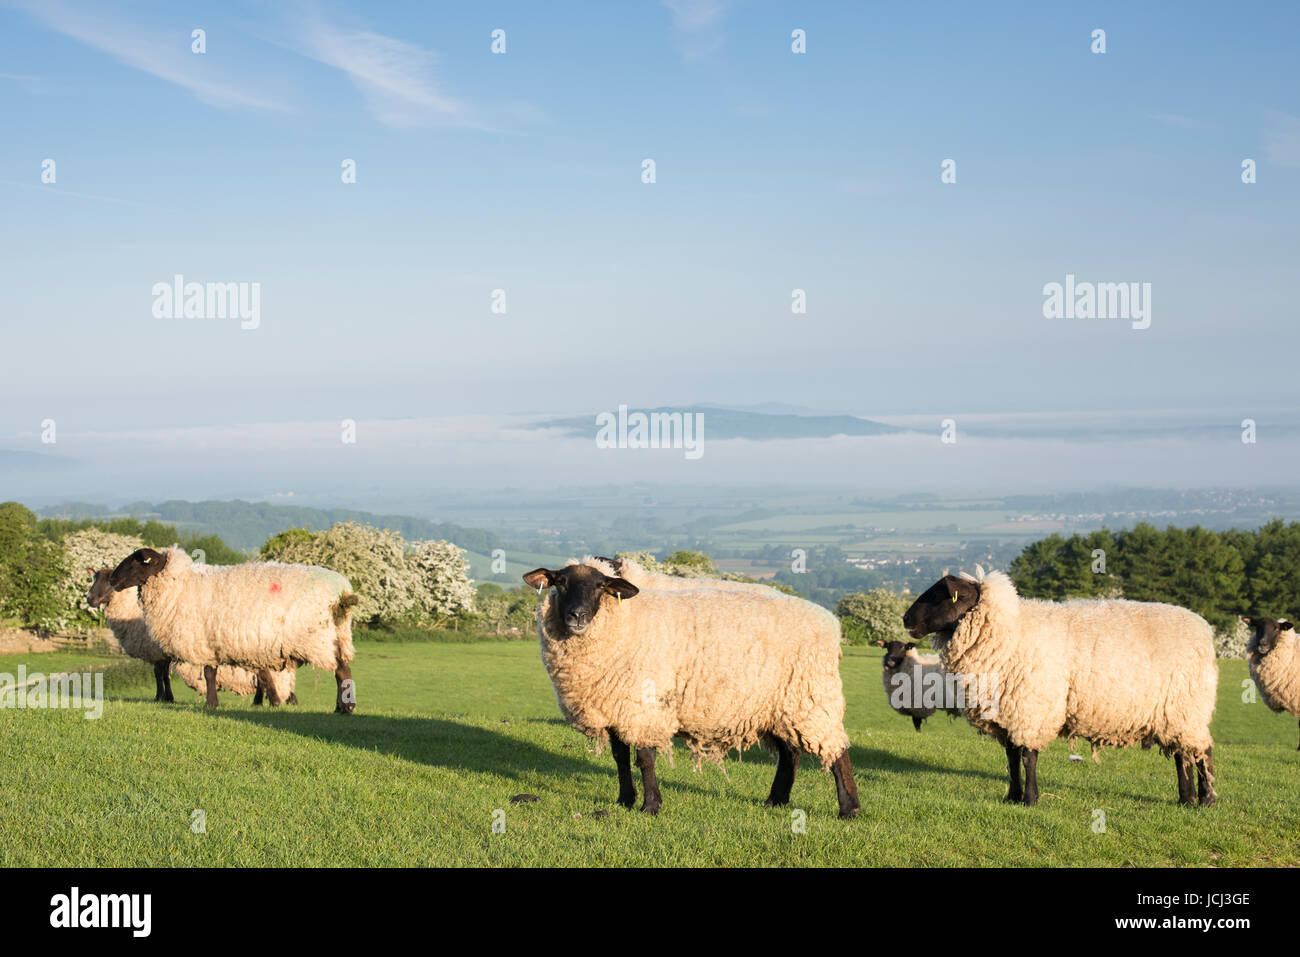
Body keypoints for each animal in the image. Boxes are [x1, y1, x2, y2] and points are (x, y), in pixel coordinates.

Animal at [109, 547, 359, 713]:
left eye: (136, 562)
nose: (112, 579)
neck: (180, 586)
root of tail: (342, 592)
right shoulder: (211, 643)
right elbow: (212, 673)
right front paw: (213, 702)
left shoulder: (204, 643)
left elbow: (208, 674)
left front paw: (210, 704)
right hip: (338, 634)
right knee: (342, 669)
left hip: (319, 639)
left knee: (341, 671)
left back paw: (345, 708)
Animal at [522, 561, 859, 818]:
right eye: (560, 583)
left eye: (600, 586)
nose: (577, 616)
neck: (625, 621)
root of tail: (831, 623)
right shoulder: (617, 706)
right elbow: (620, 757)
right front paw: (625, 799)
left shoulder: (643, 705)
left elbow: (644, 758)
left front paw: (651, 806)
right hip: (780, 704)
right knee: (791, 753)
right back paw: (775, 801)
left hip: (812, 696)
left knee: (837, 750)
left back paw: (849, 809)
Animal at [902, 569, 1218, 807]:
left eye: (939, 595)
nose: (905, 619)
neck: (1010, 632)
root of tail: (1204, 629)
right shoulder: (1008, 711)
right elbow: (1012, 757)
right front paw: (1011, 796)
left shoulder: (1030, 708)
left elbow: (1028, 756)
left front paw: (1030, 799)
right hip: (1175, 714)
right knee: (1183, 755)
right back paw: (1186, 798)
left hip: (1189, 706)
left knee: (1203, 751)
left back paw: (1207, 799)